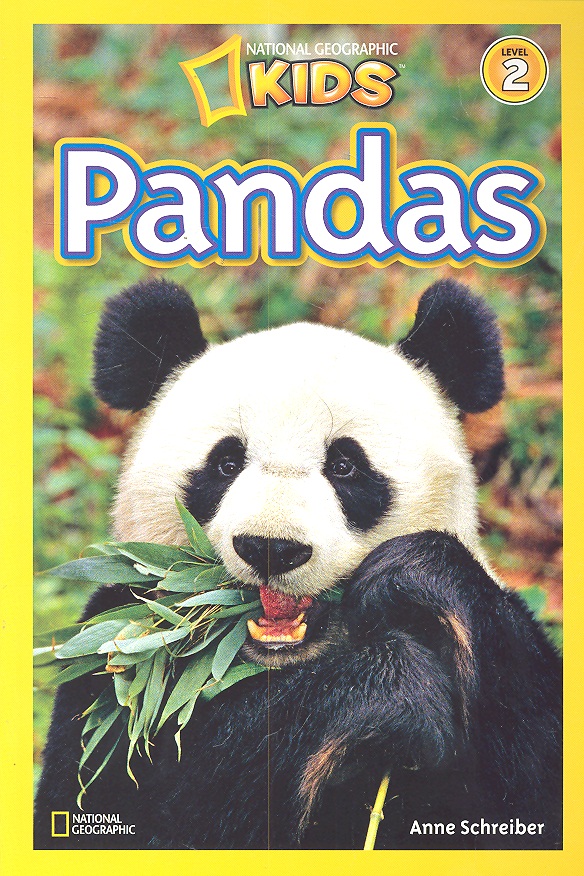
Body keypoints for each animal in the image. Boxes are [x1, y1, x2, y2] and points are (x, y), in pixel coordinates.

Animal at [35, 278, 561, 850]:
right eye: (226, 463)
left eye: (346, 465)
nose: (271, 547)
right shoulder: (117, 657)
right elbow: (125, 808)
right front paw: (392, 689)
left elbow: (532, 782)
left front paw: (415, 577)